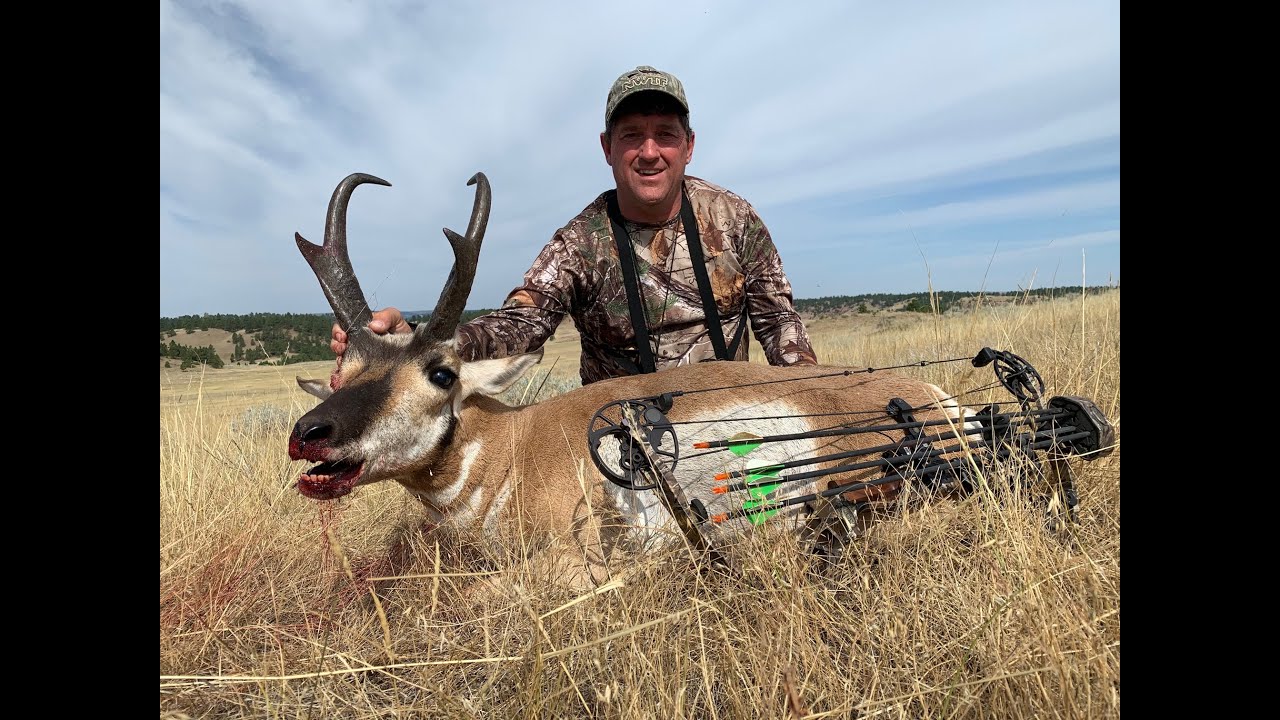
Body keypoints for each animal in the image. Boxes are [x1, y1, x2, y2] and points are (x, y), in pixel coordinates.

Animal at [289, 172, 986, 591]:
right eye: (345, 370)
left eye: (440, 373)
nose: (307, 435)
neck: (513, 444)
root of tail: (942, 402)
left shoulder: (574, 569)